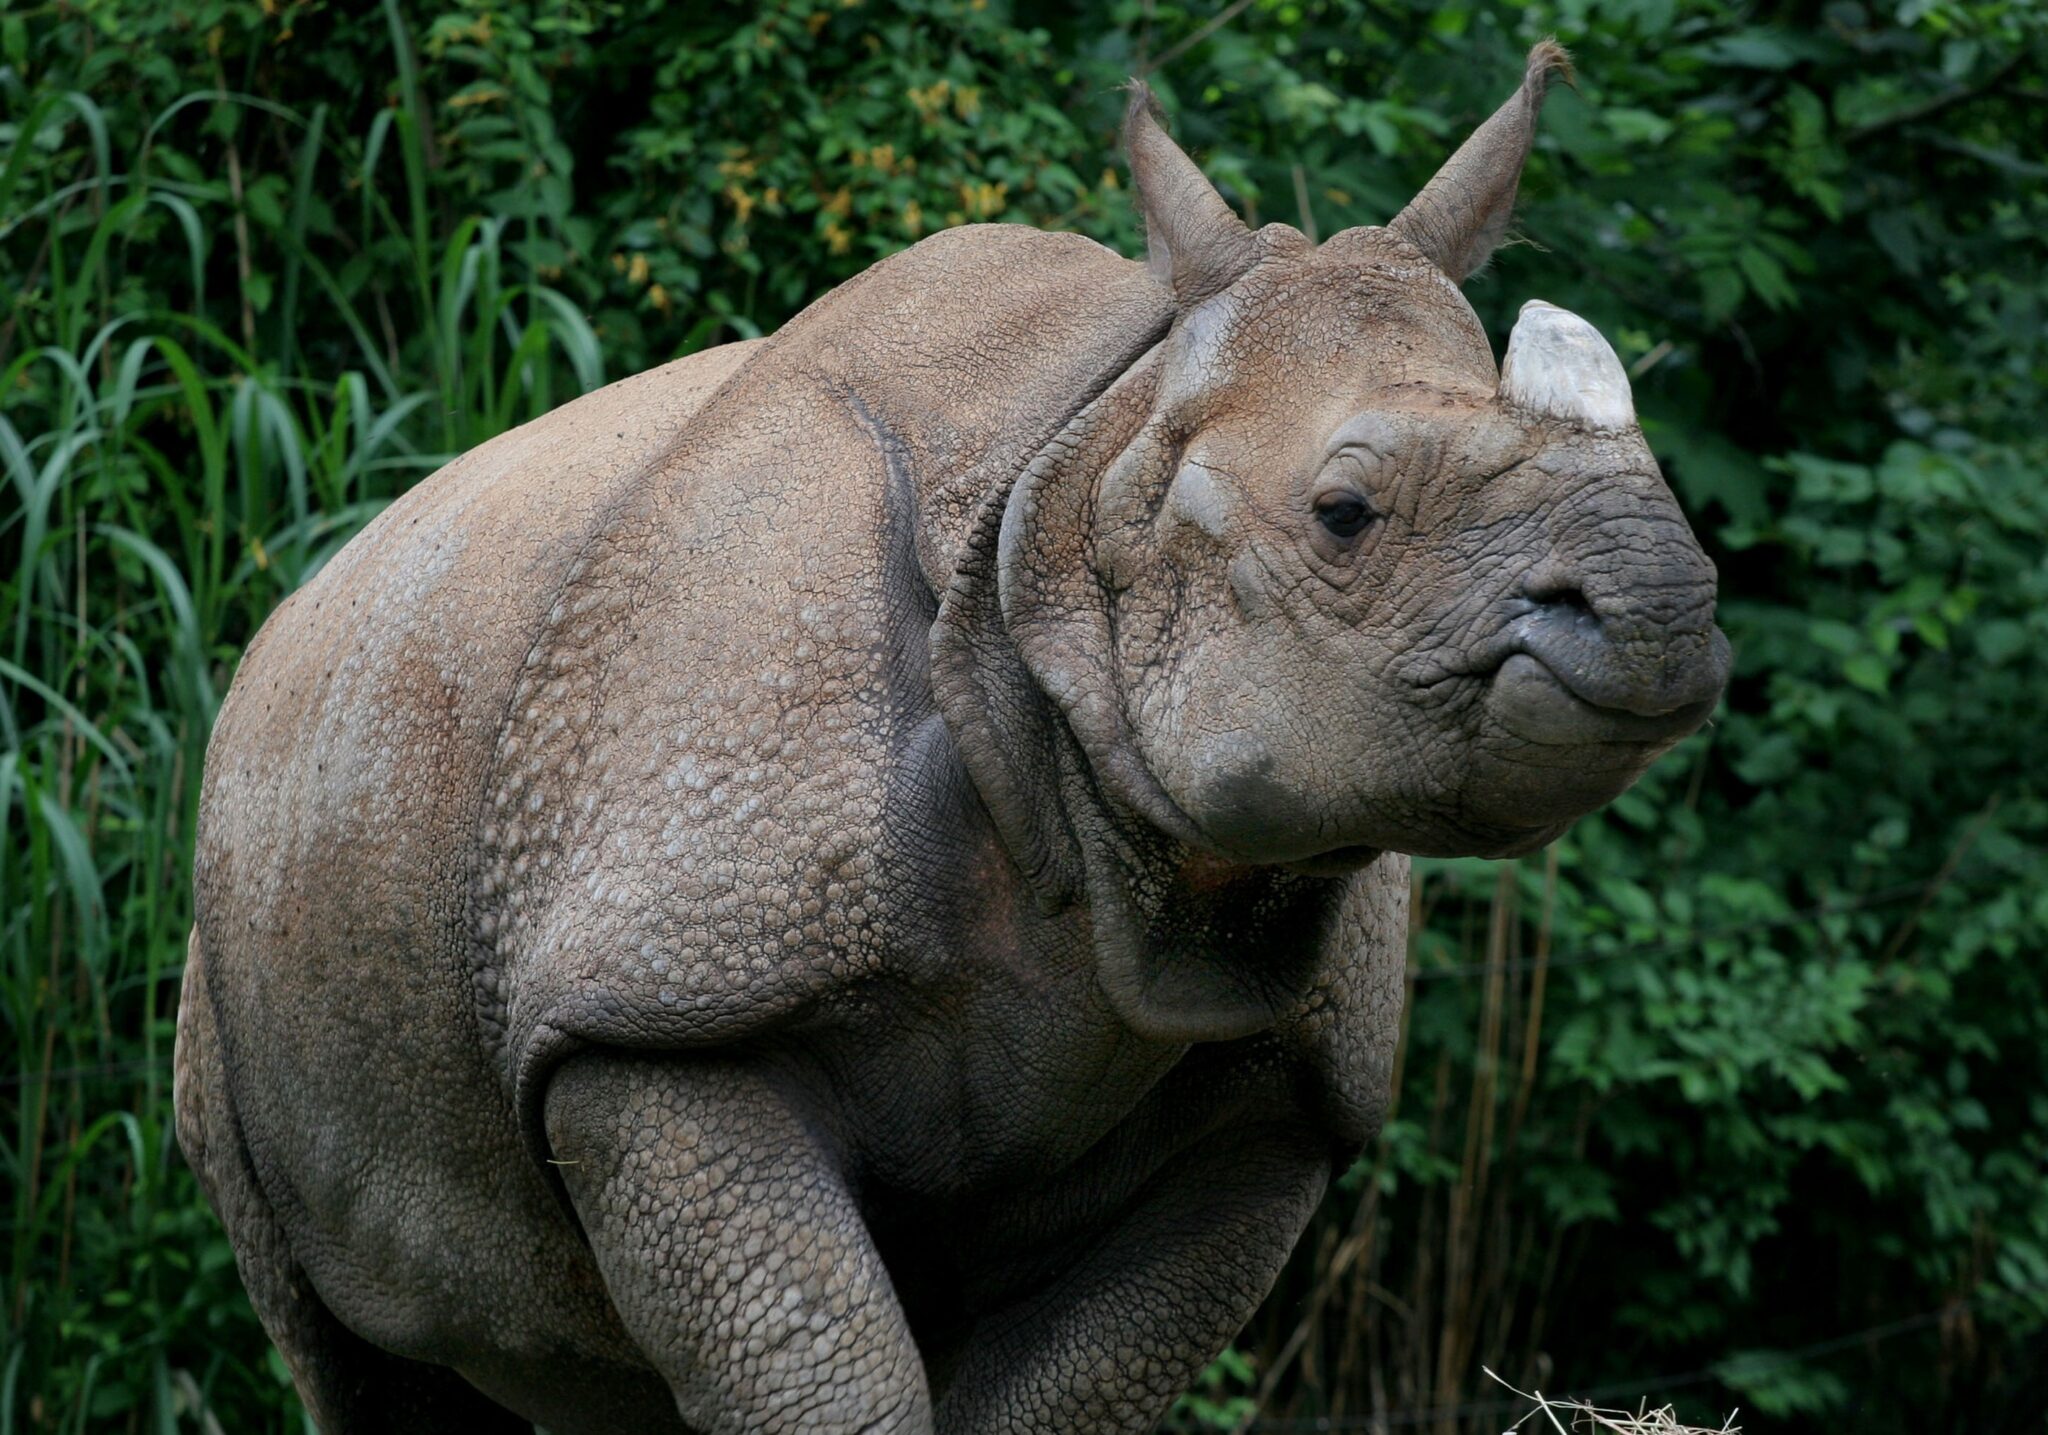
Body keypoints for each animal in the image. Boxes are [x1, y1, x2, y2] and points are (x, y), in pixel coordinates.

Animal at [174, 43, 1727, 1435]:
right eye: (1344, 516)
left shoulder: (1281, 1099)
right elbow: (823, 1373)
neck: (1082, 487)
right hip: (242, 898)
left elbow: (1065, 1387)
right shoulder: (656, 1003)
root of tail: (294, 618)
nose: (1662, 604)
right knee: (354, 1349)